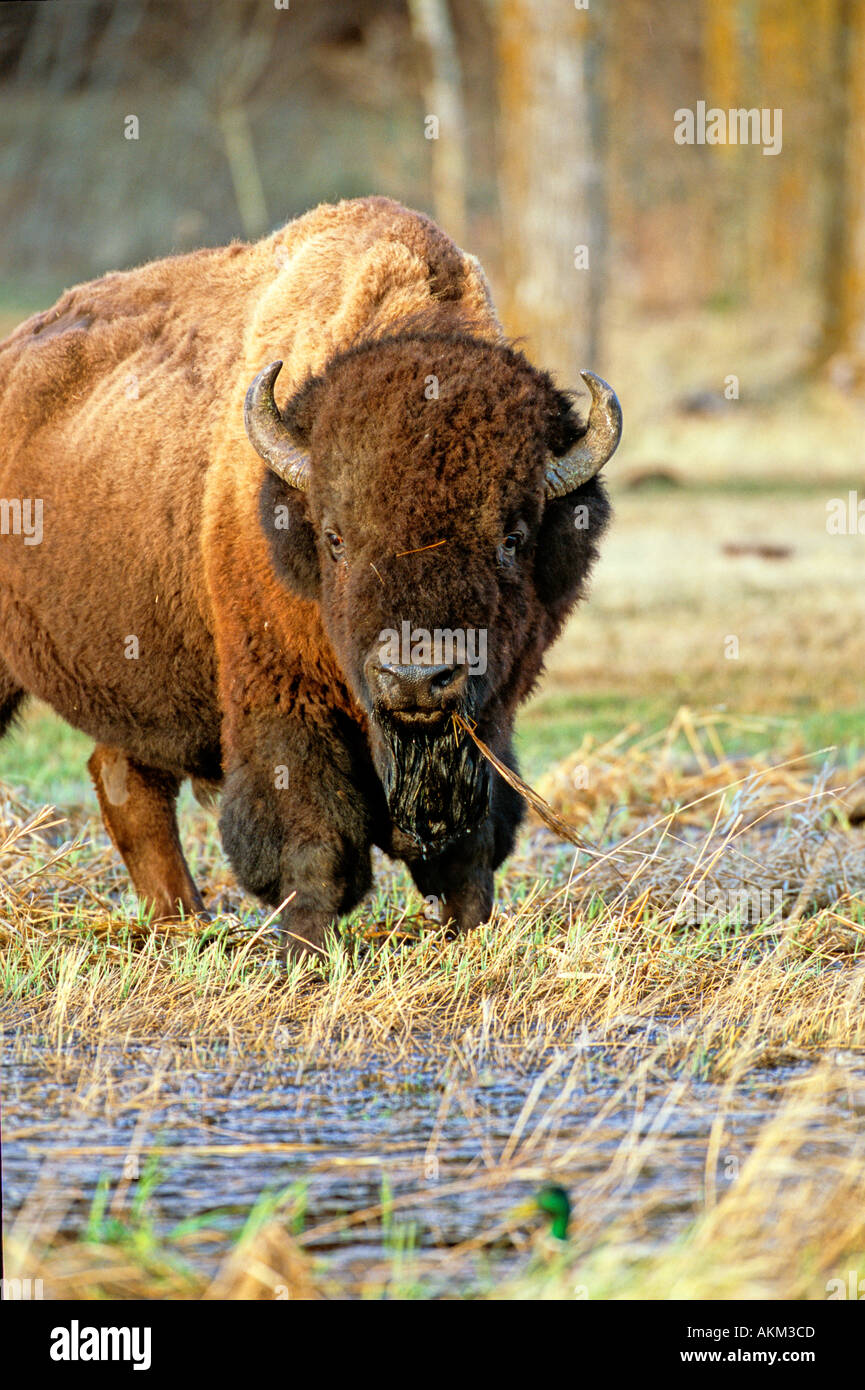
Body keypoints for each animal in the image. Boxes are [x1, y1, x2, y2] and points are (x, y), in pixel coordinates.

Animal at [0, 196, 620, 958]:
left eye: (513, 536)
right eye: (335, 539)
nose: (416, 678)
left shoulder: (491, 714)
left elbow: (470, 843)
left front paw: (466, 937)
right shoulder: (281, 695)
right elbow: (314, 841)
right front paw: (306, 953)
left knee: (126, 782)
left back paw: (183, 921)